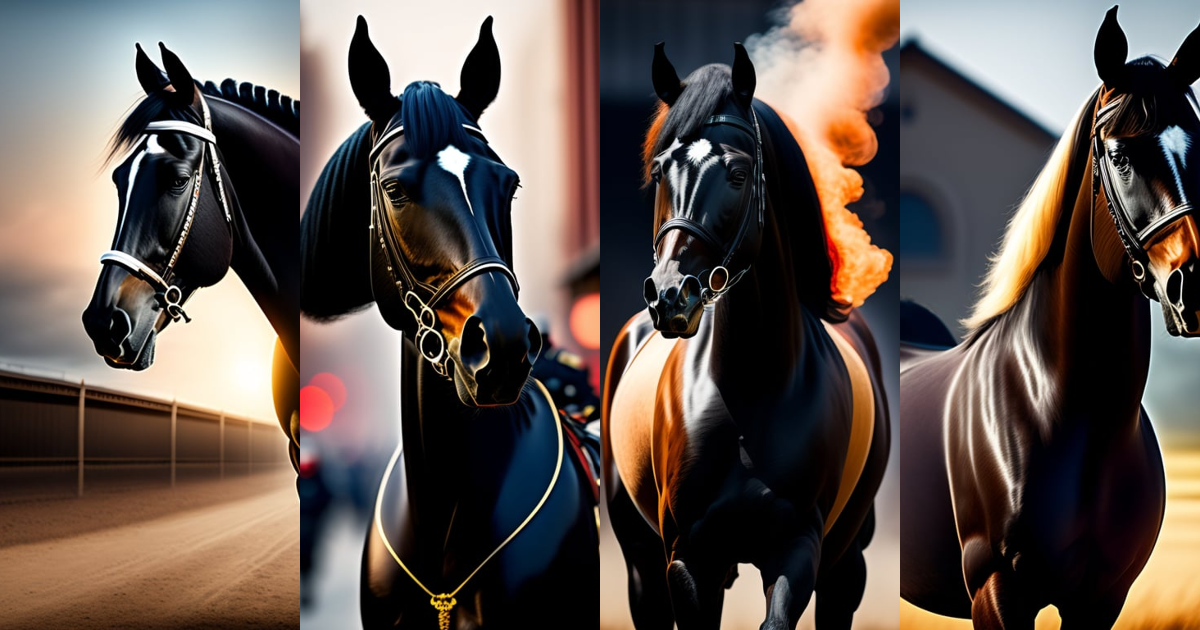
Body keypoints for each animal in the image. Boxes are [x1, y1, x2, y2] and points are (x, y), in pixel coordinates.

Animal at [603, 43, 891, 630]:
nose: (670, 295)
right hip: (641, 560)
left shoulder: (798, 548)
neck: (750, 385)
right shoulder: (689, 556)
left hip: (847, 560)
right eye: (661, 169)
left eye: (738, 173)